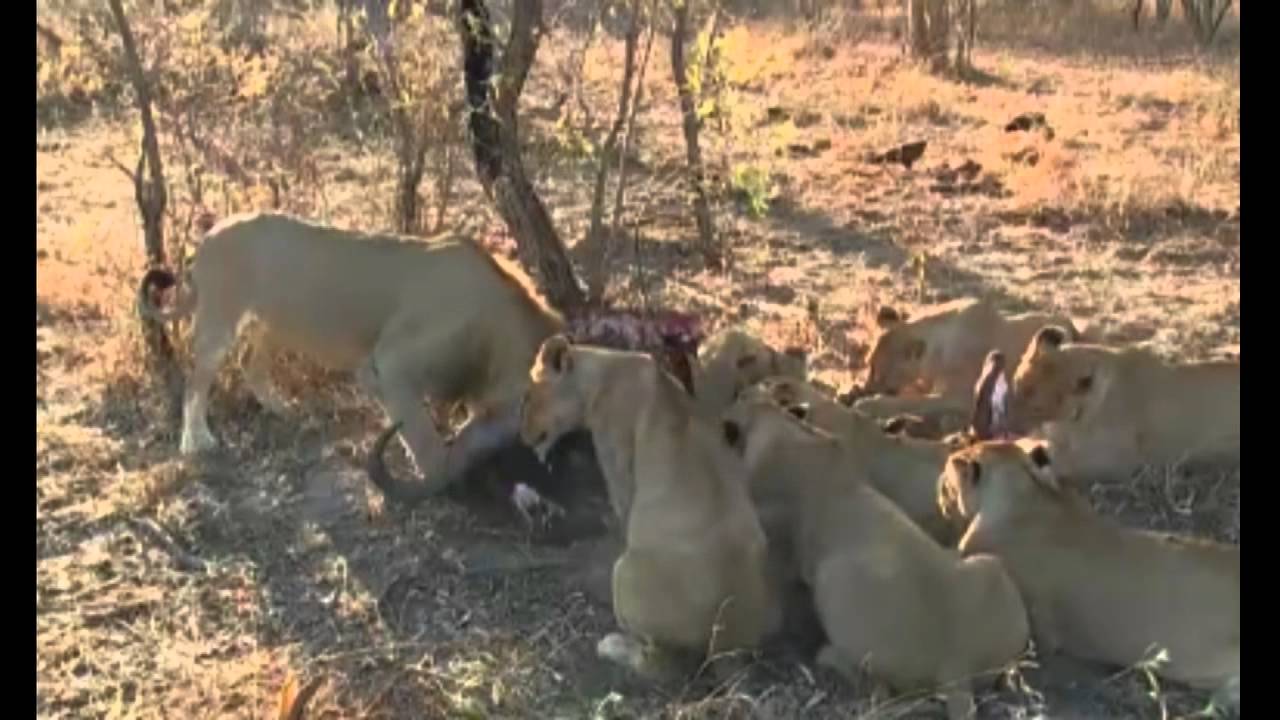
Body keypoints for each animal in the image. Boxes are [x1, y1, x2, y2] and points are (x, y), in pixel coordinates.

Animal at [137, 211, 564, 503]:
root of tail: (210, 233)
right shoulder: (386, 366)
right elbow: (424, 439)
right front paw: (436, 481)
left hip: (273, 322)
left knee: (250, 365)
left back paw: (287, 410)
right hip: (219, 320)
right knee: (197, 381)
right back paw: (195, 441)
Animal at [515, 334, 776, 678]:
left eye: (527, 396)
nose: (521, 436)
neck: (605, 371)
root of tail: (725, 640)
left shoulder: (618, 459)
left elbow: (622, 512)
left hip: (626, 573)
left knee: (659, 665)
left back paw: (612, 646)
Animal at [855, 299, 1084, 433]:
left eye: (880, 373)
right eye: (868, 366)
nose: (867, 388)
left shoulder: (958, 396)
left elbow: (911, 402)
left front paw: (868, 403)